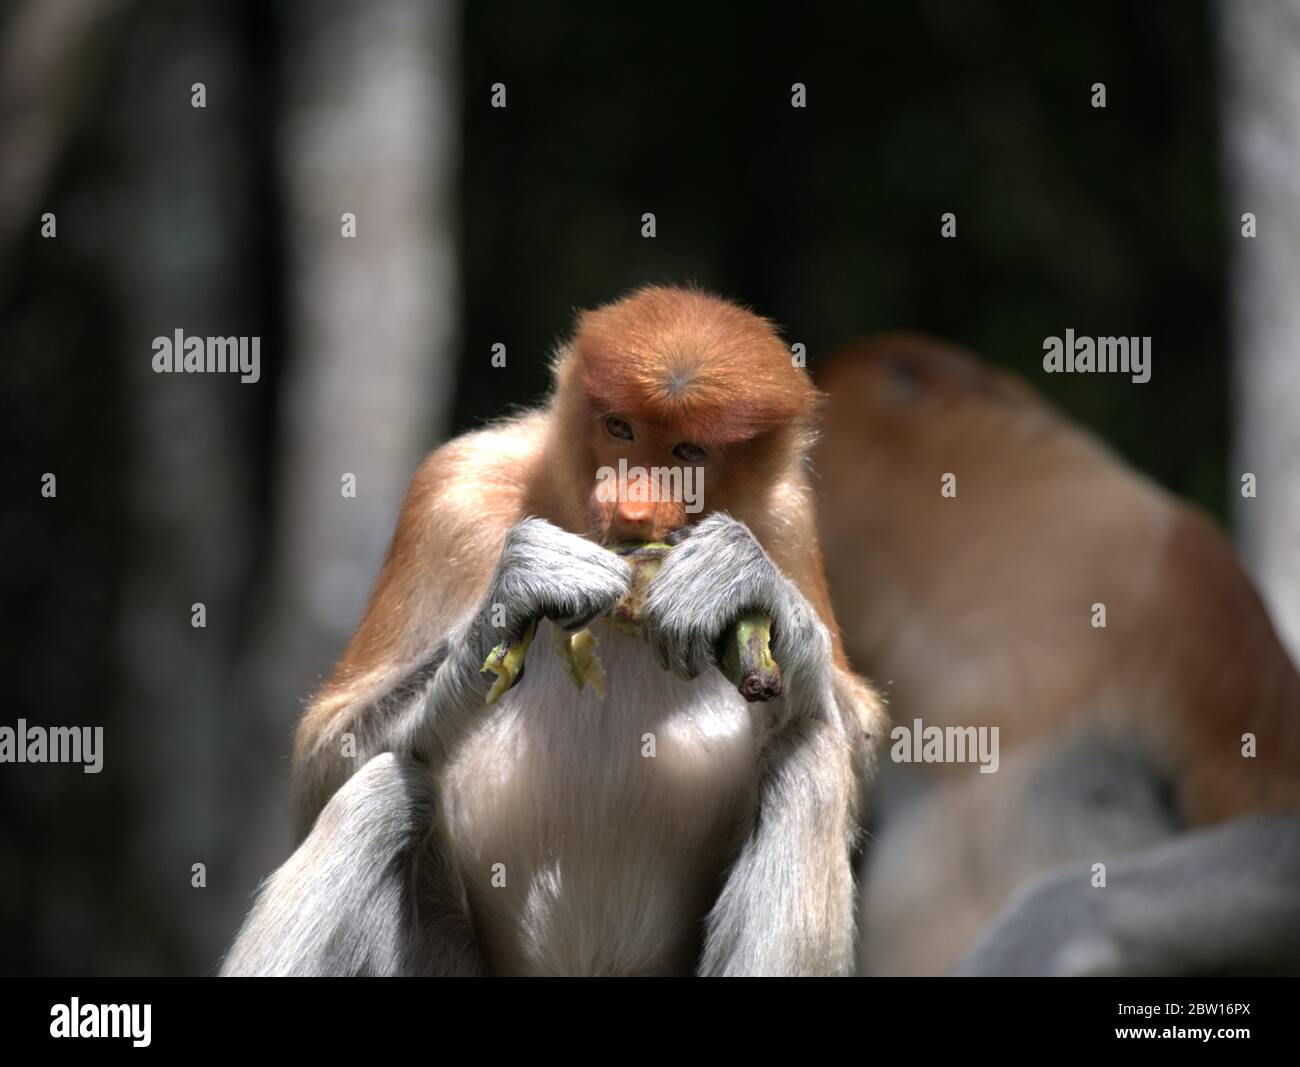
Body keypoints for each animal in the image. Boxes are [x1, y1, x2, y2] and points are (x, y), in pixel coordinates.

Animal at [222, 286, 883, 977]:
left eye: (688, 452)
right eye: (619, 427)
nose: (633, 507)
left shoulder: (789, 519)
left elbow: (858, 746)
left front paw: (737, 574)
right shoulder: (454, 492)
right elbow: (323, 757)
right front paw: (522, 589)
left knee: (811, 763)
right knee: (380, 796)